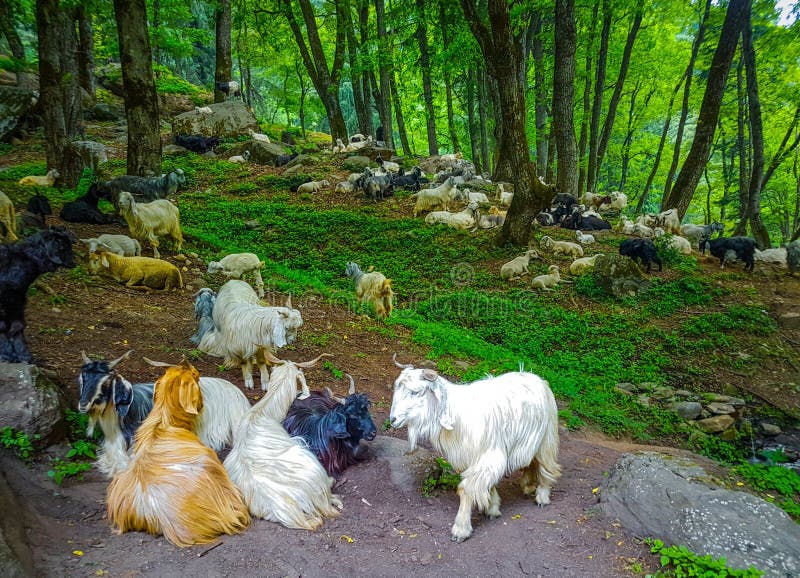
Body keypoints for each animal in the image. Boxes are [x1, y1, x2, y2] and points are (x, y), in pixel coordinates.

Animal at [0, 228, 75, 362]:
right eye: (64, 247)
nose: (73, 263)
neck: (26, 258)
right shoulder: (12, 297)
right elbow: (15, 325)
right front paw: (19, 355)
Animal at [390, 355, 561, 542]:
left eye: (415, 392)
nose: (393, 419)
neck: (456, 415)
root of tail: (538, 380)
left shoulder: (487, 456)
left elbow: (466, 490)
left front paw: (461, 529)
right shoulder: (471, 459)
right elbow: (487, 486)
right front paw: (493, 508)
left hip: (546, 437)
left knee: (545, 465)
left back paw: (542, 497)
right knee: (531, 462)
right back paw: (527, 486)